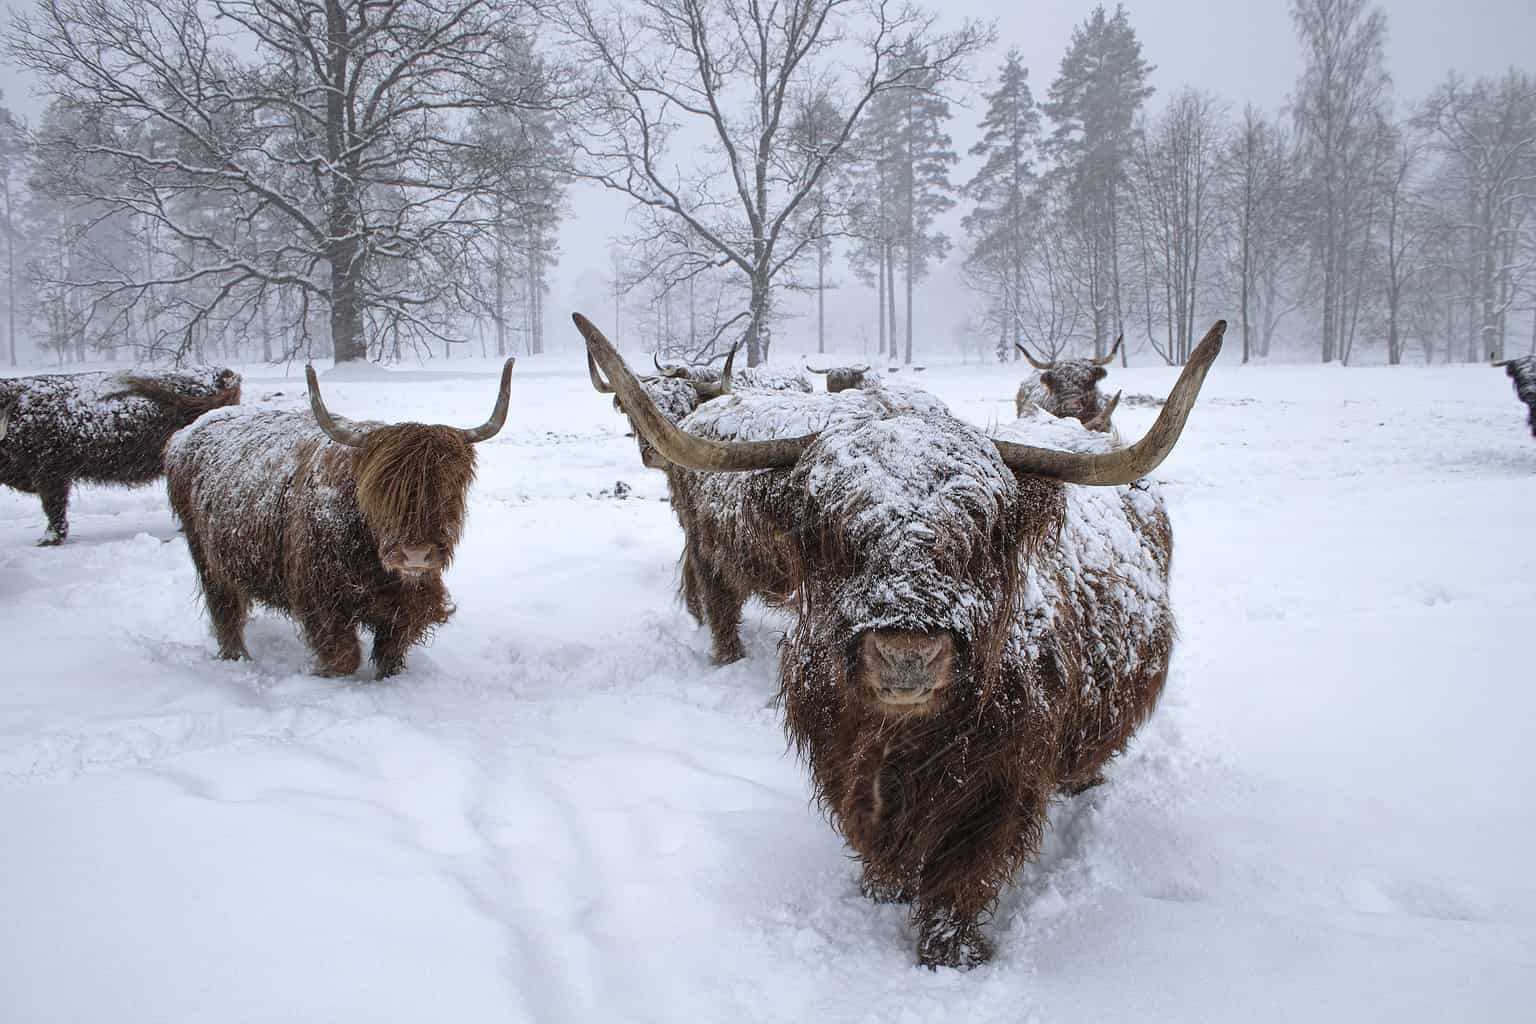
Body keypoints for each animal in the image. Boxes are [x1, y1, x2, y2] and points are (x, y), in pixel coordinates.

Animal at [164, 360, 513, 679]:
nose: (415, 554)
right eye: (379, 490)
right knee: (225, 610)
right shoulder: (321, 601)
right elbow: (344, 657)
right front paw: (320, 673)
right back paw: (237, 659)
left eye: (449, 488)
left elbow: (391, 652)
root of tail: (186, 434)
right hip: (207, 557)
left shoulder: (410, 601)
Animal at [576, 311, 1223, 970]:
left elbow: (964, 869)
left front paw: (950, 951)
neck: (902, 737)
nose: (907, 654)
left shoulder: (1000, 780)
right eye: (833, 531)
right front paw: (882, 889)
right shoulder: (843, 760)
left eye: (978, 534)